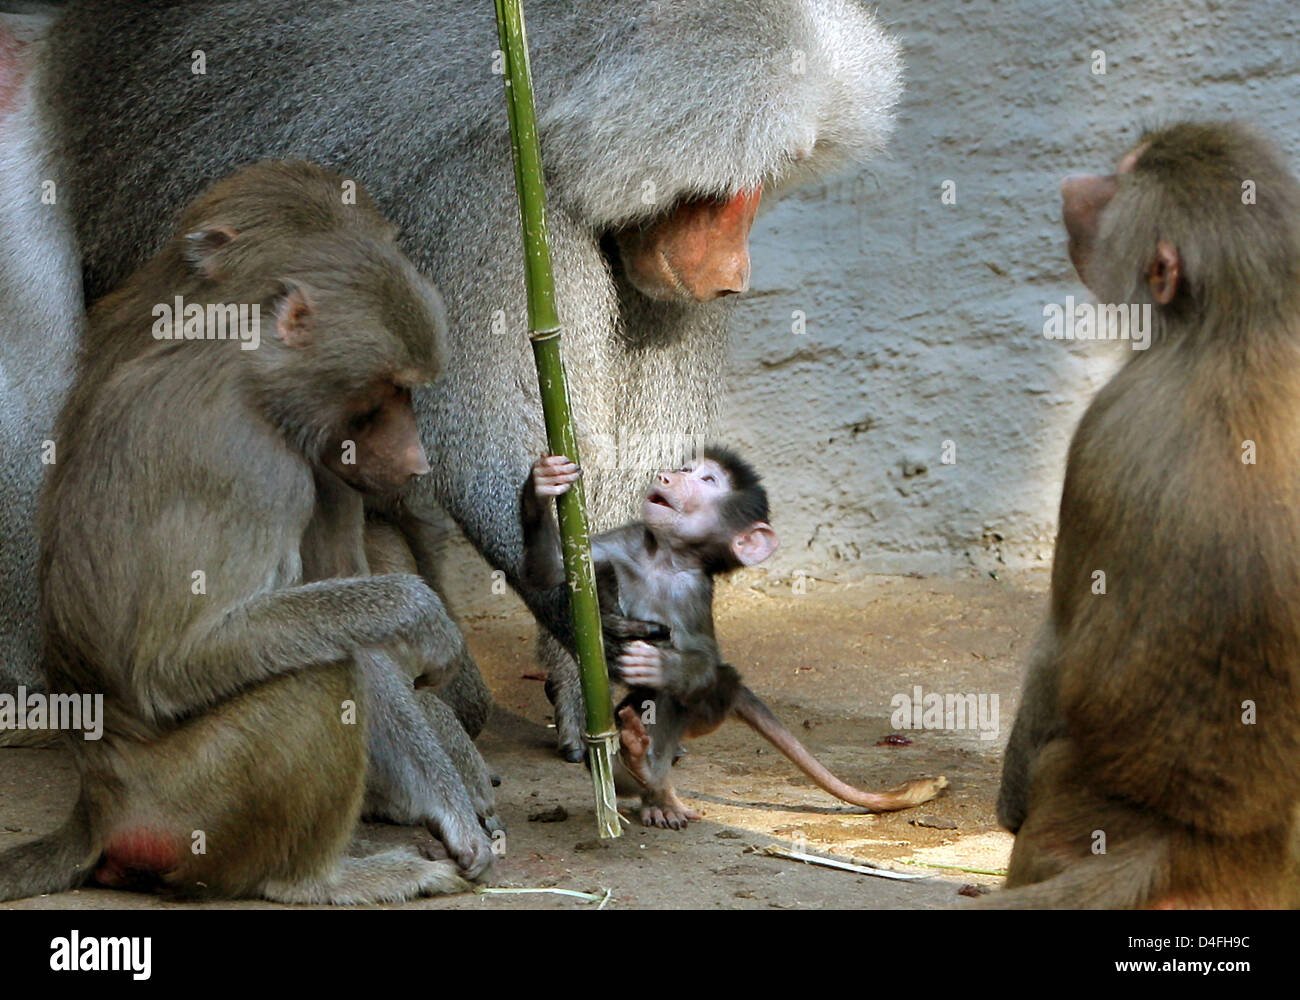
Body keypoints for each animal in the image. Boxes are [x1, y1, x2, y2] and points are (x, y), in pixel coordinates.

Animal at [0, 1, 904, 764]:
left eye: (770, 183)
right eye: (733, 190)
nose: (732, 282)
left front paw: (601, 687)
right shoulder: (494, 194)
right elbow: (495, 452)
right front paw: (600, 650)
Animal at [0, 162, 492, 904]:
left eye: (404, 393)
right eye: (381, 395)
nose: (415, 464)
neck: (249, 372)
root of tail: (97, 806)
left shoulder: (325, 467)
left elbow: (341, 596)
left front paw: (445, 796)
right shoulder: (255, 467)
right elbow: (176, 660)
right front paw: (425, 620)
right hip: (191, 797)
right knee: (318, 673)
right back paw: (319, 879)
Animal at [522, 449, 949, 828]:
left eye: (707, 480)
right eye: (685, 469)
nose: (665, 477)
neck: (663, 559)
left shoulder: (693, 593)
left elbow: (704, 662)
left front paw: (660, 663)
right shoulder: (628, 541)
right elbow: (552, 570)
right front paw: (544, 481)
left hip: (711, 709)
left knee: (691, 692)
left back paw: (650, 775)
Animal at [987, 122, 1300, 909]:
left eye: (1120, 179)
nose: (1074, 184)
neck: (1237, 327)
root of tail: (1185, 831)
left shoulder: (1098, 429)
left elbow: (1058, 645)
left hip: (1075, 796)